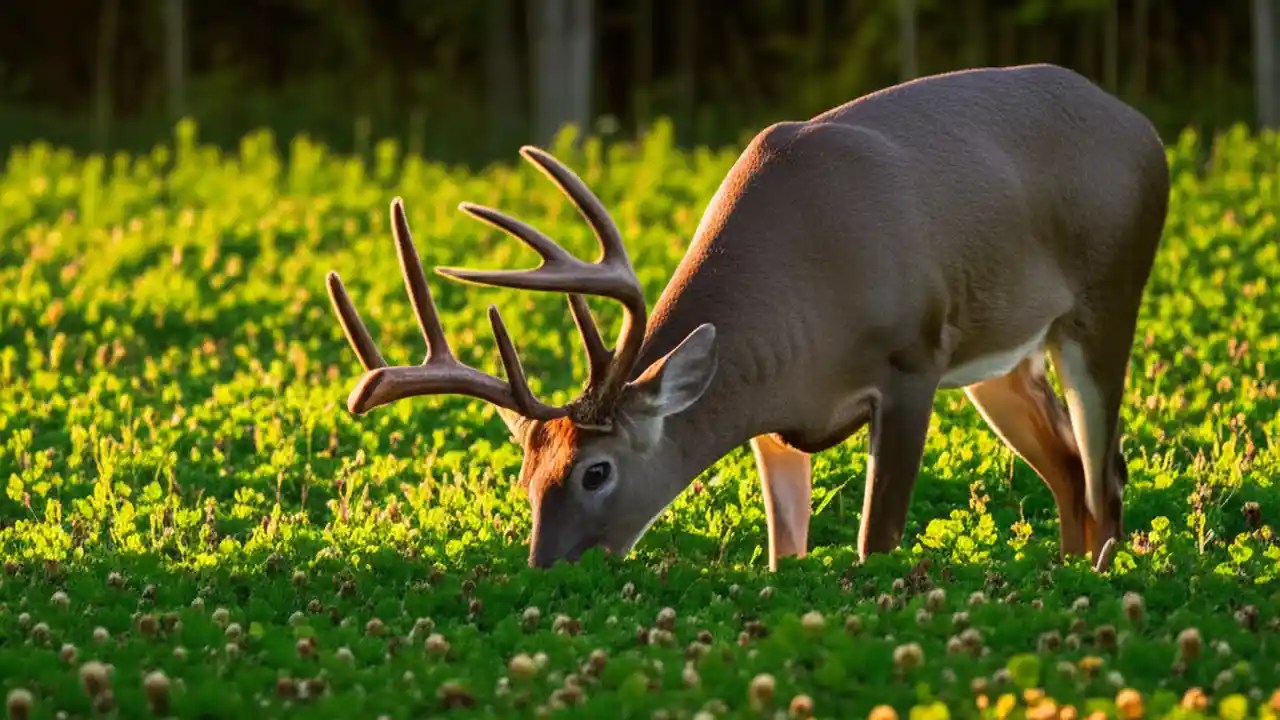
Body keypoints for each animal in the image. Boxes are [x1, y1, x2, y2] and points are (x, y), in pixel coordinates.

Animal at [325, 64, 1168, 573]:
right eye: (527, 477)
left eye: (597, 470)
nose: (545, 573)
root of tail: (1144, 128)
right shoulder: (776, 423)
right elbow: (783, 552)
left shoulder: (913, 359)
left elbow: (877, 542)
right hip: (1005, 359)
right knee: (1068, 470)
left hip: (1107, 297)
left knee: (1105, 476)